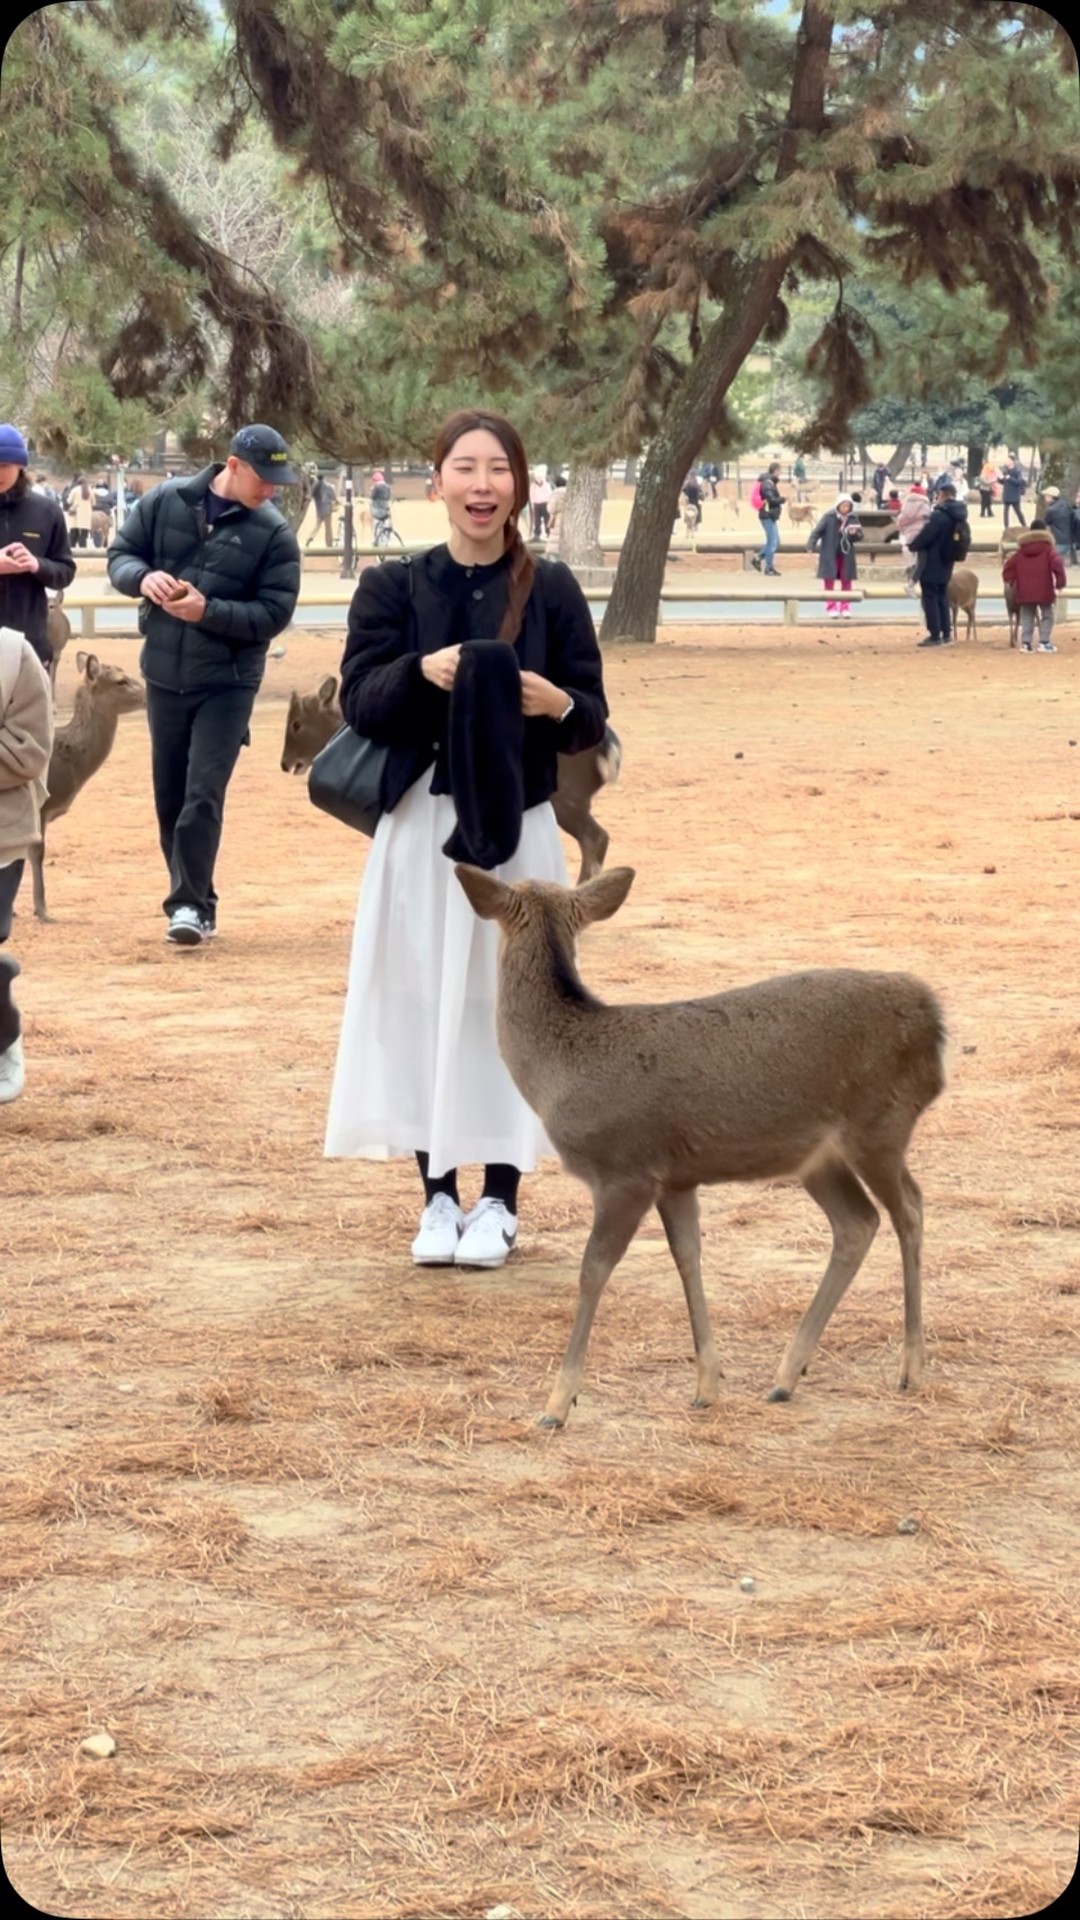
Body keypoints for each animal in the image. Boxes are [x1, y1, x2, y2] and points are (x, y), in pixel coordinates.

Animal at [455, 864, 946, 1429]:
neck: (559, 1072)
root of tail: (936, 1025)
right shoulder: (676, 1177)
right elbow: (687, 1256)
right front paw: (707, 1383)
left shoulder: (626, 1170)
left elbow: (593, 1270)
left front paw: (558, 1403)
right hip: (819, 1156)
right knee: (858, 1222)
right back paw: (786, 1376)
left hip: (879, 1125)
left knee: (909, 1208)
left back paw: (911, 1365)